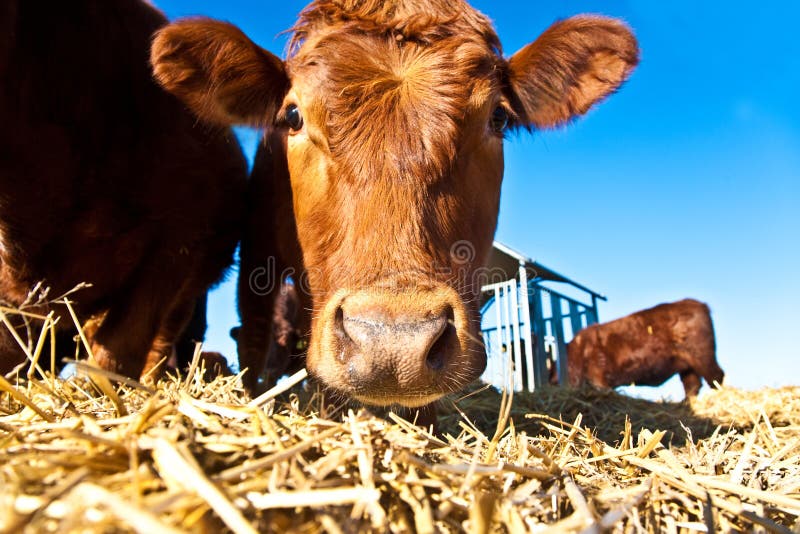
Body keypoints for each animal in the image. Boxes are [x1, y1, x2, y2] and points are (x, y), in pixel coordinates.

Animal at [564, 299, 725, 398]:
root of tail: (699, 304)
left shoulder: (598, 376)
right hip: (686, 363)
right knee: (693, 385)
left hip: (702, 353)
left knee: (716, 376)